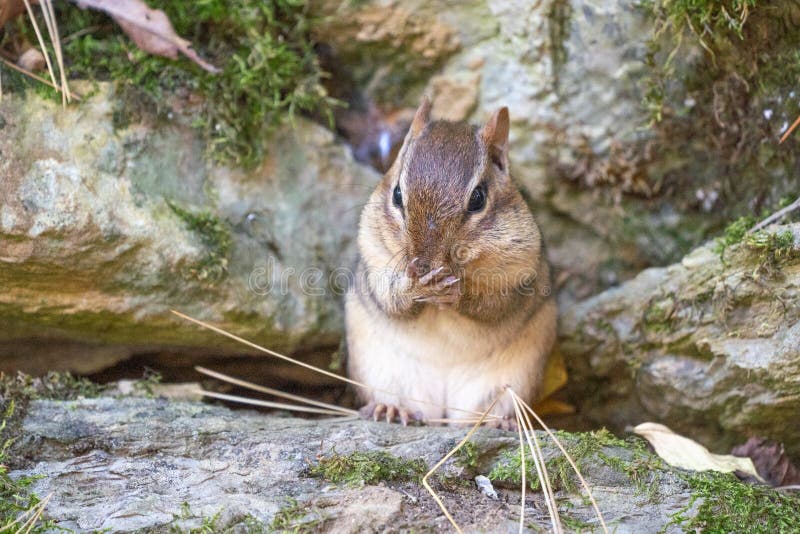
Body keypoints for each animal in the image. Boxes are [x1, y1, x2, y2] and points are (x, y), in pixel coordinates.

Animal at [345, 97, 557, 427]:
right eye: (397, 194)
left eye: (478, 198)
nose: (425, 264)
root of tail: (440, 411)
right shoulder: (374, 257)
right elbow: (389, 299)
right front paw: (413, 287)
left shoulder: (521, 269)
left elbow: (496, 304)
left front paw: (458, 292)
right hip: (380, 369)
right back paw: (390, 409)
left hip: (512, 377)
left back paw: (498, 421)